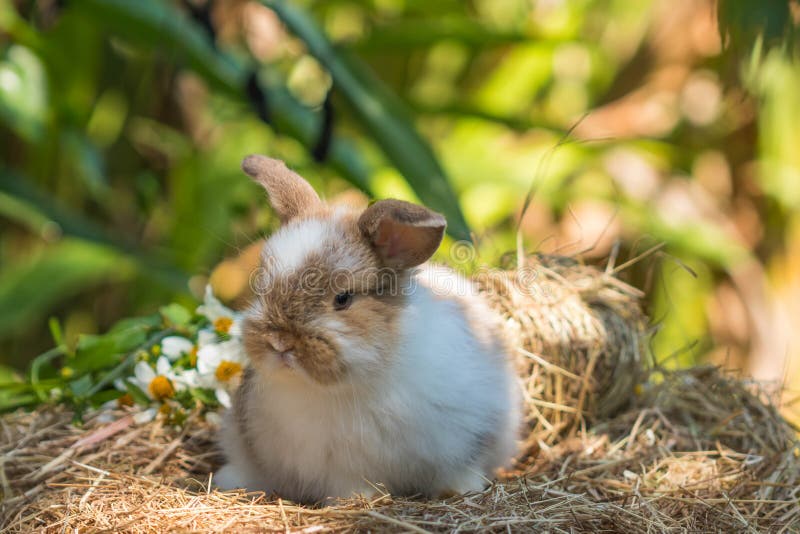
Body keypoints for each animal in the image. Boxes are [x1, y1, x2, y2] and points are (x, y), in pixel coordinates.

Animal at [214, 155, 521, 503]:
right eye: (263, 287)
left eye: (343, 299)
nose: (279, 343)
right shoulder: (339, 466)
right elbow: (351, 484)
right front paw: (357, 501)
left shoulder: (464, 435)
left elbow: (459, 467)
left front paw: (460, 489)